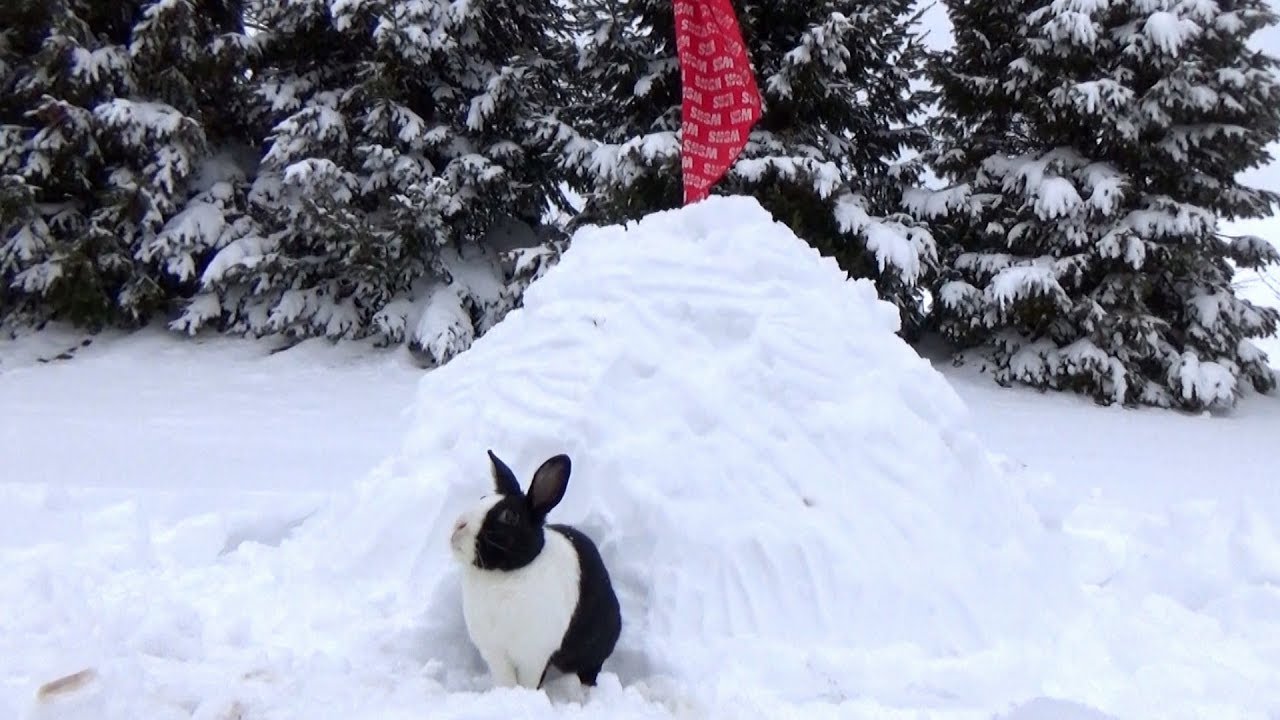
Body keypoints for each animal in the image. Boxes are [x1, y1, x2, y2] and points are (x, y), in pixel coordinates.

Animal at [448, 449, 621, 690]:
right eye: (482, 499)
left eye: (509, 516)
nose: (458, 526)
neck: (503, 576)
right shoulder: (496, 654)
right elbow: (505, 680)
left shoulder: (534, 656)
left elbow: (528, 682)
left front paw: (524, 695)